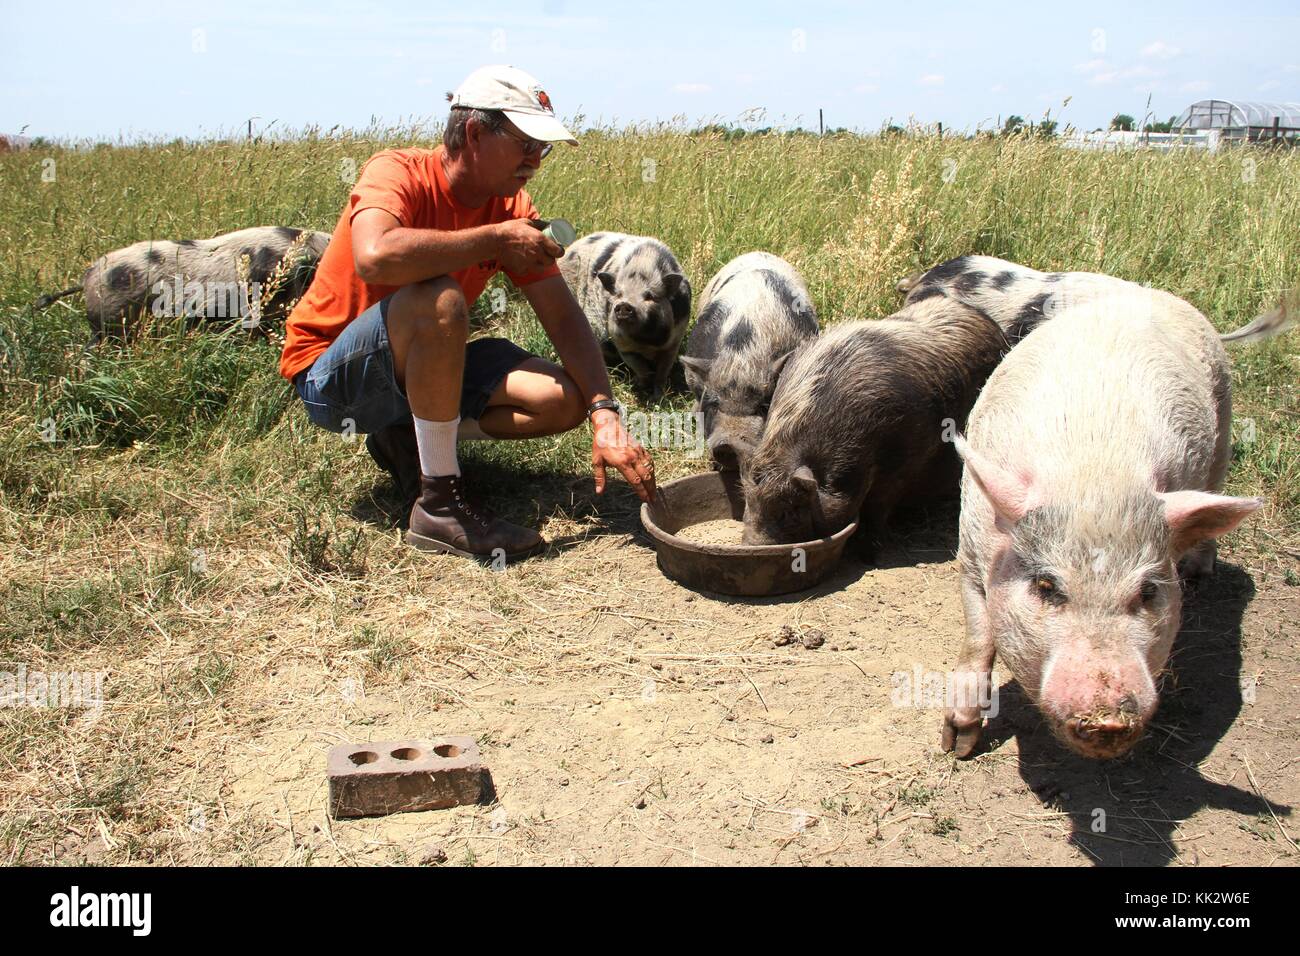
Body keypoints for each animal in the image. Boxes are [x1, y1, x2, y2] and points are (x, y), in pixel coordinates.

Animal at [559, 232, 691, 399]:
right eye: (619, 294)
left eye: (650, 296)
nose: (624, 305)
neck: (645, 342)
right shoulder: (621, 344)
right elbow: (641, 368)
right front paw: (640, 386)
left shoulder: (674, 342)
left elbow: (662, 373)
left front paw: (657, 398)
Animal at [741, 293, 1008, 547]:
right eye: (748, 502)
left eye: (789, 511)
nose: (752, 545)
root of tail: (989, 322)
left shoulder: (901, 464)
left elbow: (879, 506)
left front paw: (872, 547)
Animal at [942, 285, 1265, 761]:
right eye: (1046, 586)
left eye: (1148, 591)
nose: (1109, 720)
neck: (1093, 476)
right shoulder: (969, 552)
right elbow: (978, 639)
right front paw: (957, 744)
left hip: (1223, 419)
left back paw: (1197, 572)